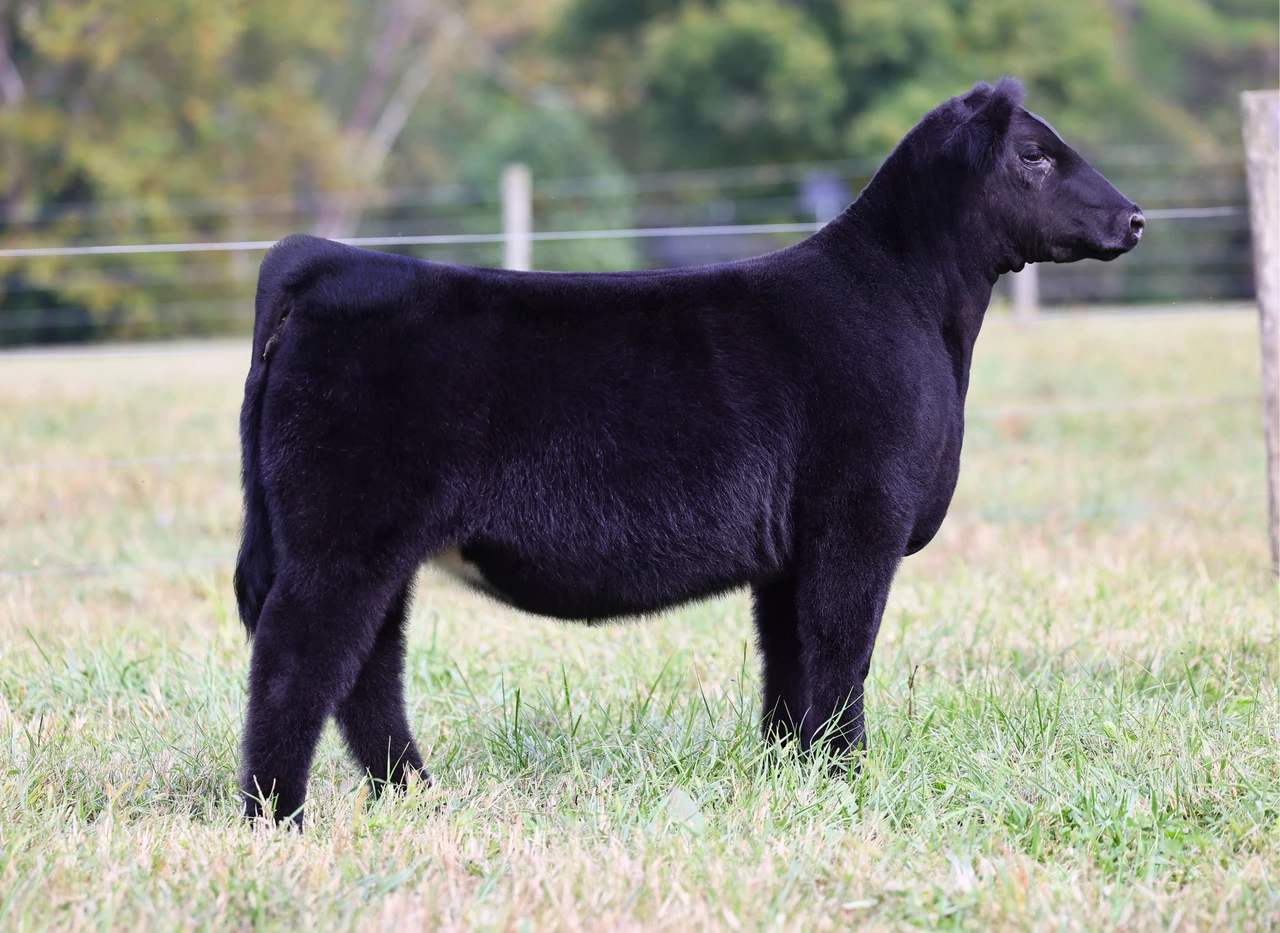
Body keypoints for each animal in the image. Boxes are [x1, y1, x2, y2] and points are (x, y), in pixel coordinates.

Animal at [233, 78, 1143, 825]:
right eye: (1034, 154)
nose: (1134, 217)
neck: (915, 307)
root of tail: (324, 260)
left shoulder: (790, 550)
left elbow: (789, 666)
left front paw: (791, 776)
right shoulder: (860, 520)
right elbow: (842, 653)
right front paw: (845, 779)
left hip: (376, 550)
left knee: (367, 672)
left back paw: (415, 796)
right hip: (343, 540)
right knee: (297, 662)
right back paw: (278, 818)